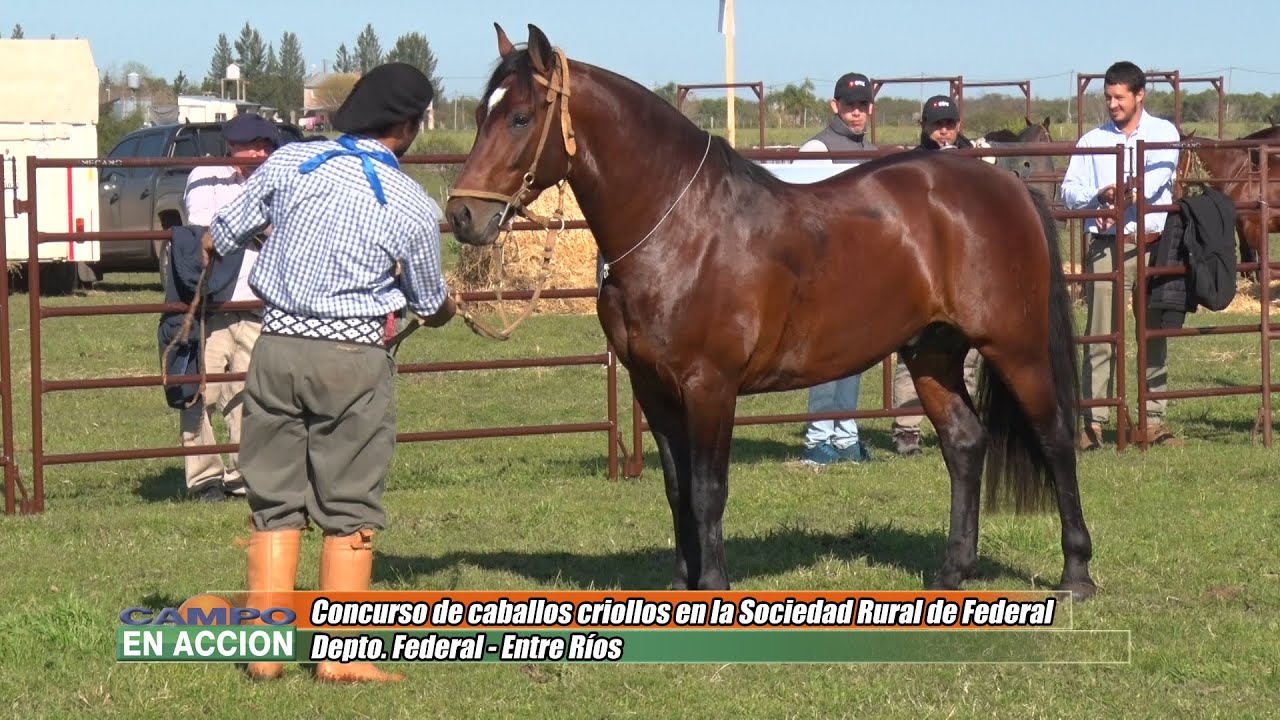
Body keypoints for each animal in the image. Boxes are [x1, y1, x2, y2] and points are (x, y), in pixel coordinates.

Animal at [446, 23, 1096, 600]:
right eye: (479, 115)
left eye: (520, 117)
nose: (461, 215)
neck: (681, 229)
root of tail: (1008, 189)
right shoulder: (653, 388)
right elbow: (677, 488)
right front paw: (680, 587)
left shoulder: (710, 386)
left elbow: (708, 490)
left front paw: (712, 588)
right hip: (932, 352)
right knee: (964, 444)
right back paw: (951, 573)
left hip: (1016, 348)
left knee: (1055, 438)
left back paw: (1076, 574)